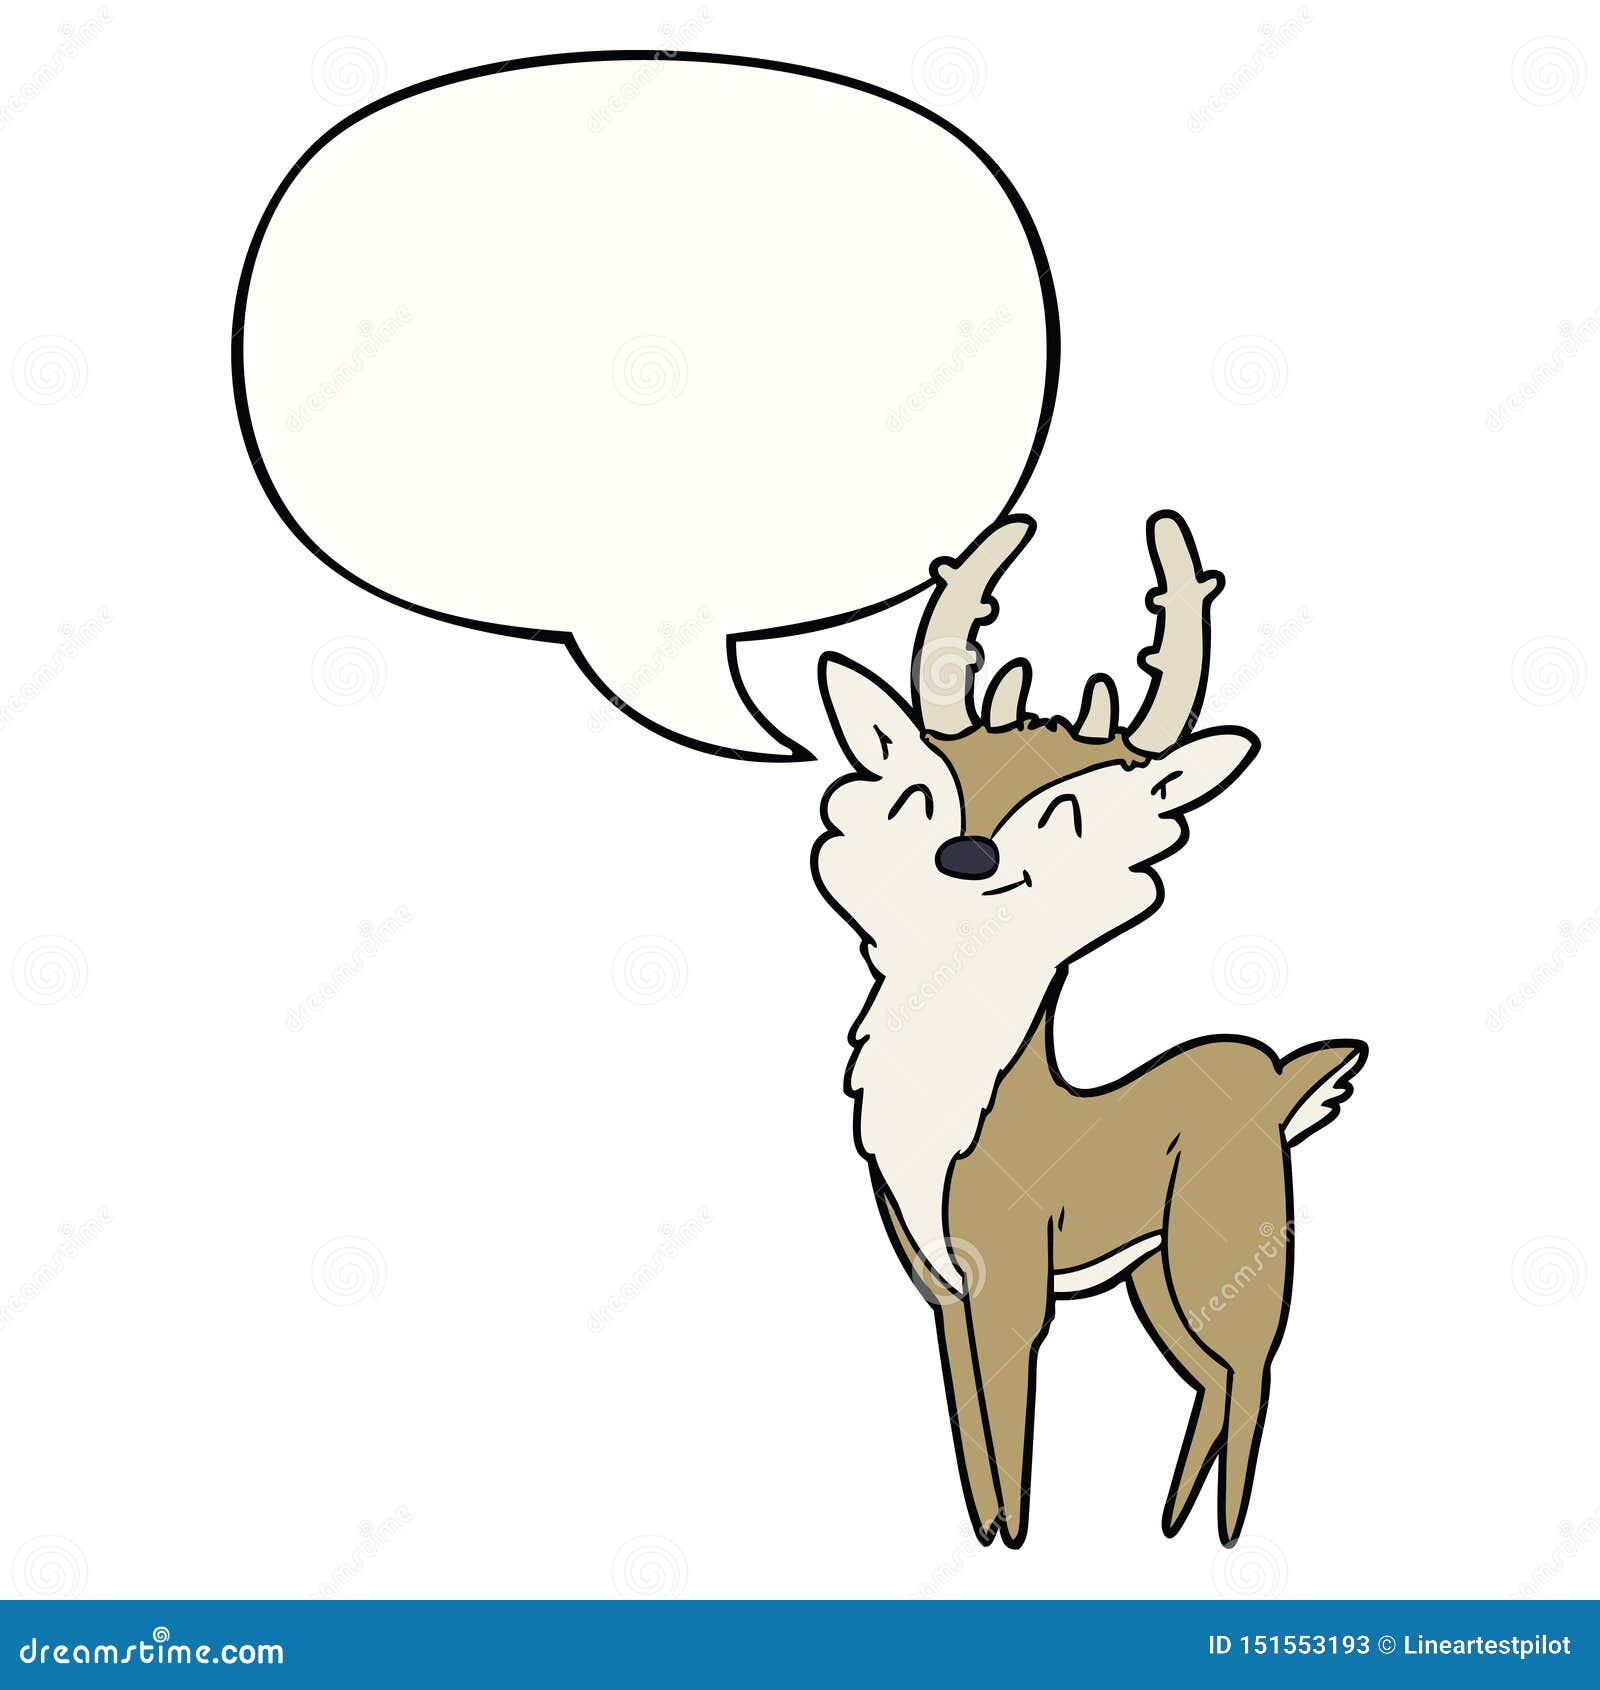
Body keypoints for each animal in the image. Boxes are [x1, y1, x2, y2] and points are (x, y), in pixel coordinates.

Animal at [811, 511, 1366, 1550]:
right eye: (924, 795)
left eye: (1065, 815)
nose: (967, 855)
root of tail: (1276, 1080)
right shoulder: (943, 1291)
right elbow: (972, 1436)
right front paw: (987, 1532)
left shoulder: (1016, 1288)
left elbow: (1013, 1427)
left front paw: (1017, 1540)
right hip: (1159, 1279)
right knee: (1210, 1380)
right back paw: (1174, 1521)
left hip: (1225, 1257)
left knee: (1252, 1375)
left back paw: (1225, 1533)